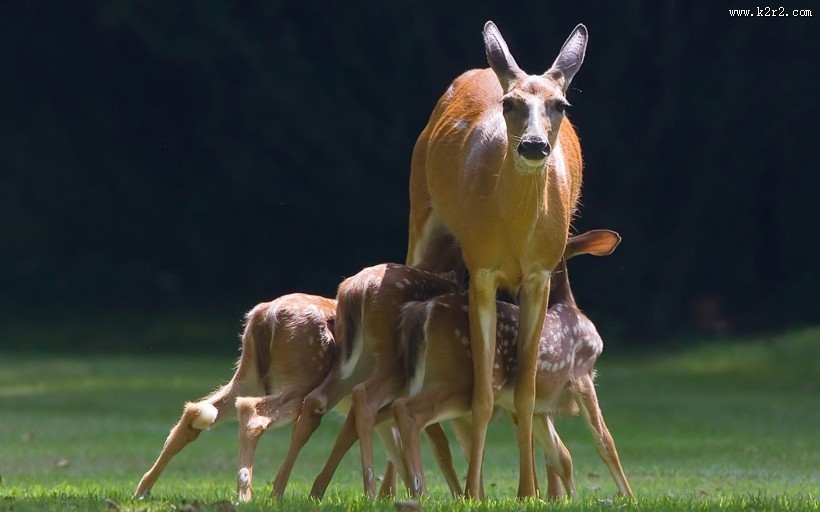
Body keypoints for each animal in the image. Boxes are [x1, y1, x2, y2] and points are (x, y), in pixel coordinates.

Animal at [133, 293, 338, 501]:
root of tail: (267, 312)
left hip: (249, 376)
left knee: (196, 409)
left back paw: (141, 491)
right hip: (304, 376)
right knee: (253, 411)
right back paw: (246, 497)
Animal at [242, 263, 464, 499]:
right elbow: (439, 444)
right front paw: (455, 496)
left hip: (353, 362)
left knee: (316, 401)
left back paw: (284, 491)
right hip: (390, 360)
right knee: (364, 397)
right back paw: (371, 491)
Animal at [393, 230, 634, 500]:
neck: (570, 307)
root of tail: (422, 310)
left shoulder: (539, 407)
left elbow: (561, 456)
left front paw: (572, 499)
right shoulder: (582, 374)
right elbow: (605, 443)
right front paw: (630, 498)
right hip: (466, 382)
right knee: (408, 410)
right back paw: (420, 491)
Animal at [405, 21, 589, 498]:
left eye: (561, 105)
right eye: (510, 103)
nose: (534, 146)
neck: (515, 234)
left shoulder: (540, 275)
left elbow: (525, 391)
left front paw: (529, 491)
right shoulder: (482, 269)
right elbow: (482, 394)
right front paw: (474, 491)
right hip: (420, 213)